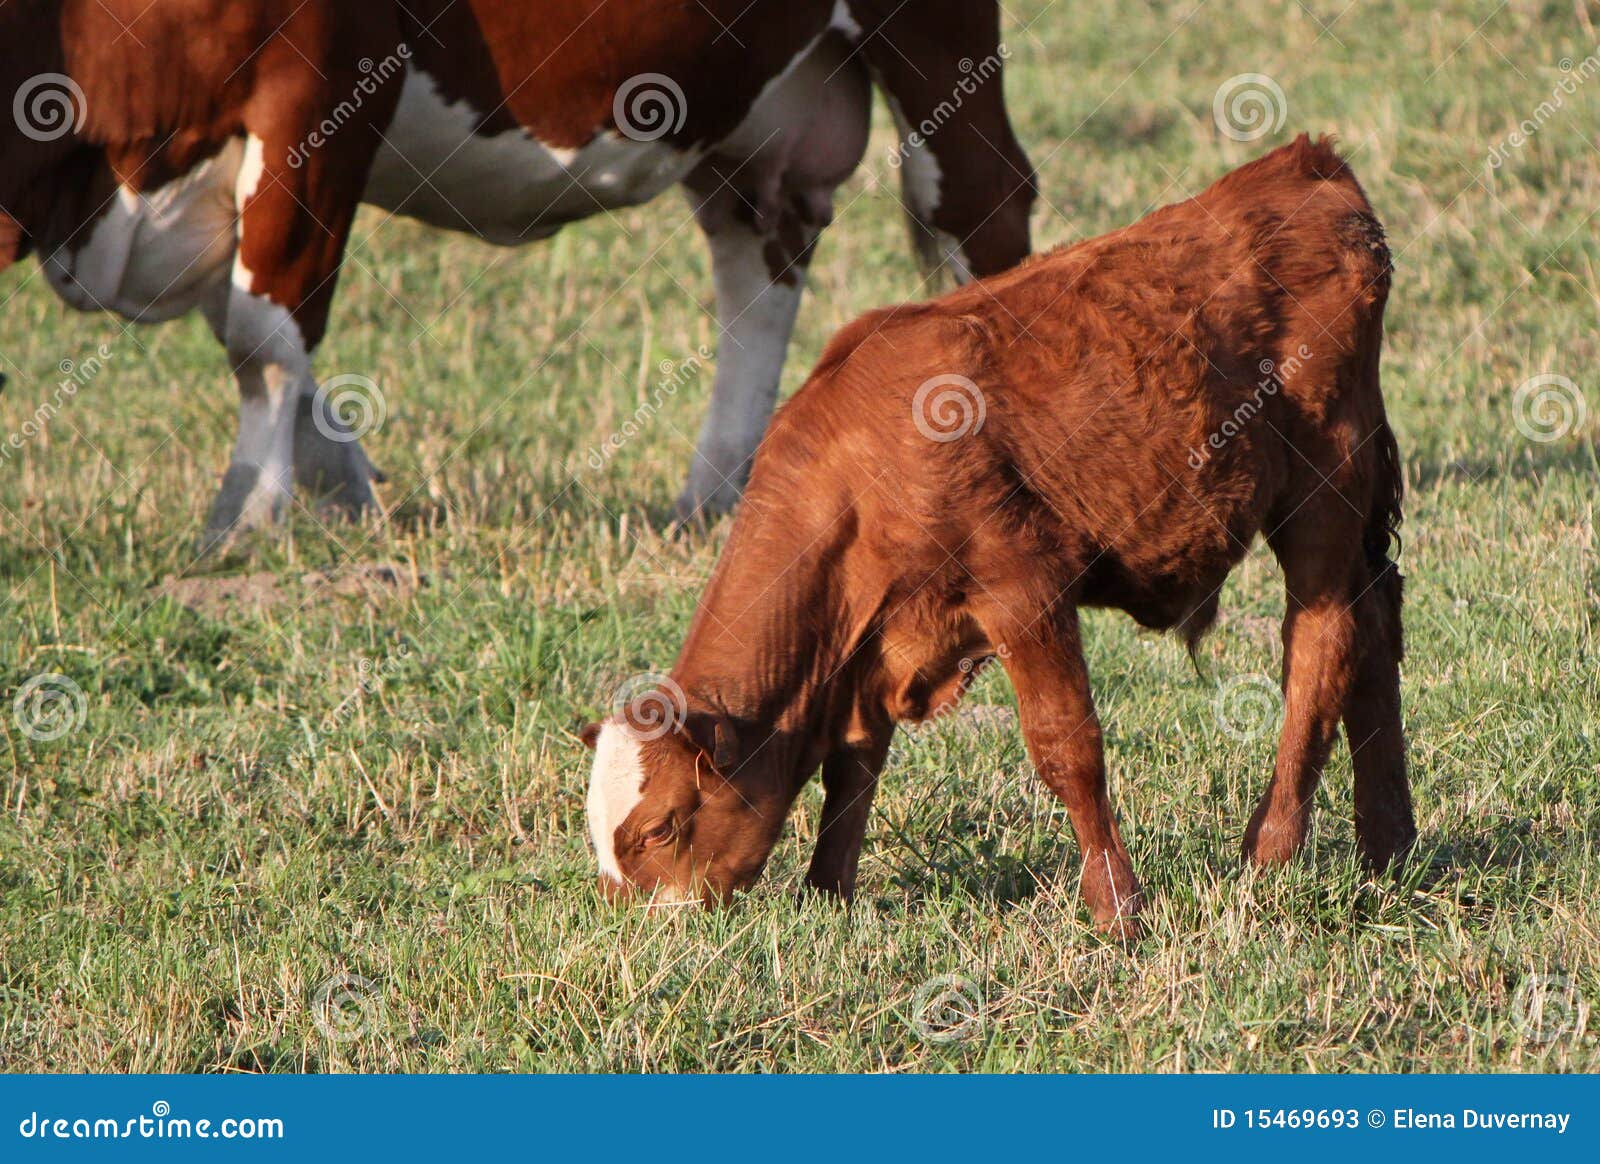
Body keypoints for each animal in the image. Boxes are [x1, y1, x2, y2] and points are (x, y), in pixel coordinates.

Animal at [0, 1, 1035, 551]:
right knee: (760, 259)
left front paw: (246, 517)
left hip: (934, 39)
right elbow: (249, 324)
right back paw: (714, 496)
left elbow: (263, 331)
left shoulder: (320, 87)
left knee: (986, 210)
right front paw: (343, 487)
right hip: (744, 99)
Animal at [582, 136, 1417, 933]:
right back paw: (1386, 846)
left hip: (1323, 489)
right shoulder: (877, 635)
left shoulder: (1023, 588)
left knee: (1323, 646)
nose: (646, 929)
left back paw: (1270, 853)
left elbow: (1065, 746)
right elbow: (854, 762)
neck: (857, 465)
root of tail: (1305, 165)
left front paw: (1117, 908)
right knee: (1376, 628)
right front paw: (826, 891)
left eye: (660, 828)